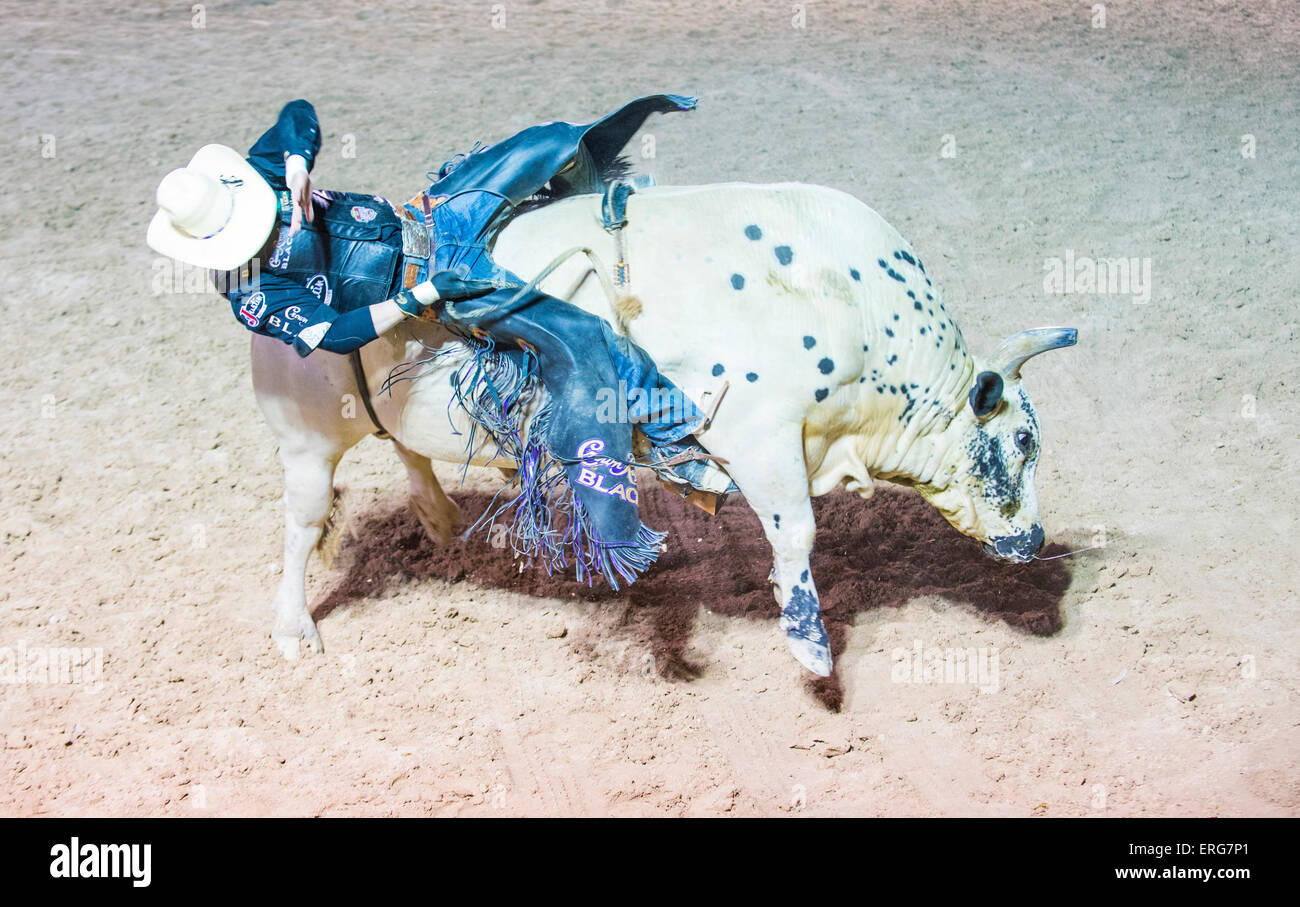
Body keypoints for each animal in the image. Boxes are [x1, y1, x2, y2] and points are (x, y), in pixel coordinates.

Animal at [251, 182, 1076, 677]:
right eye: (1022, 441)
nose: (1035, 540)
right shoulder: (764, 438)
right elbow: (797, 533)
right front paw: (810, 644)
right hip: (306, 444)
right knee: (301, 525)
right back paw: (293, 627)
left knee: (406, 450)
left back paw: (442, 520)